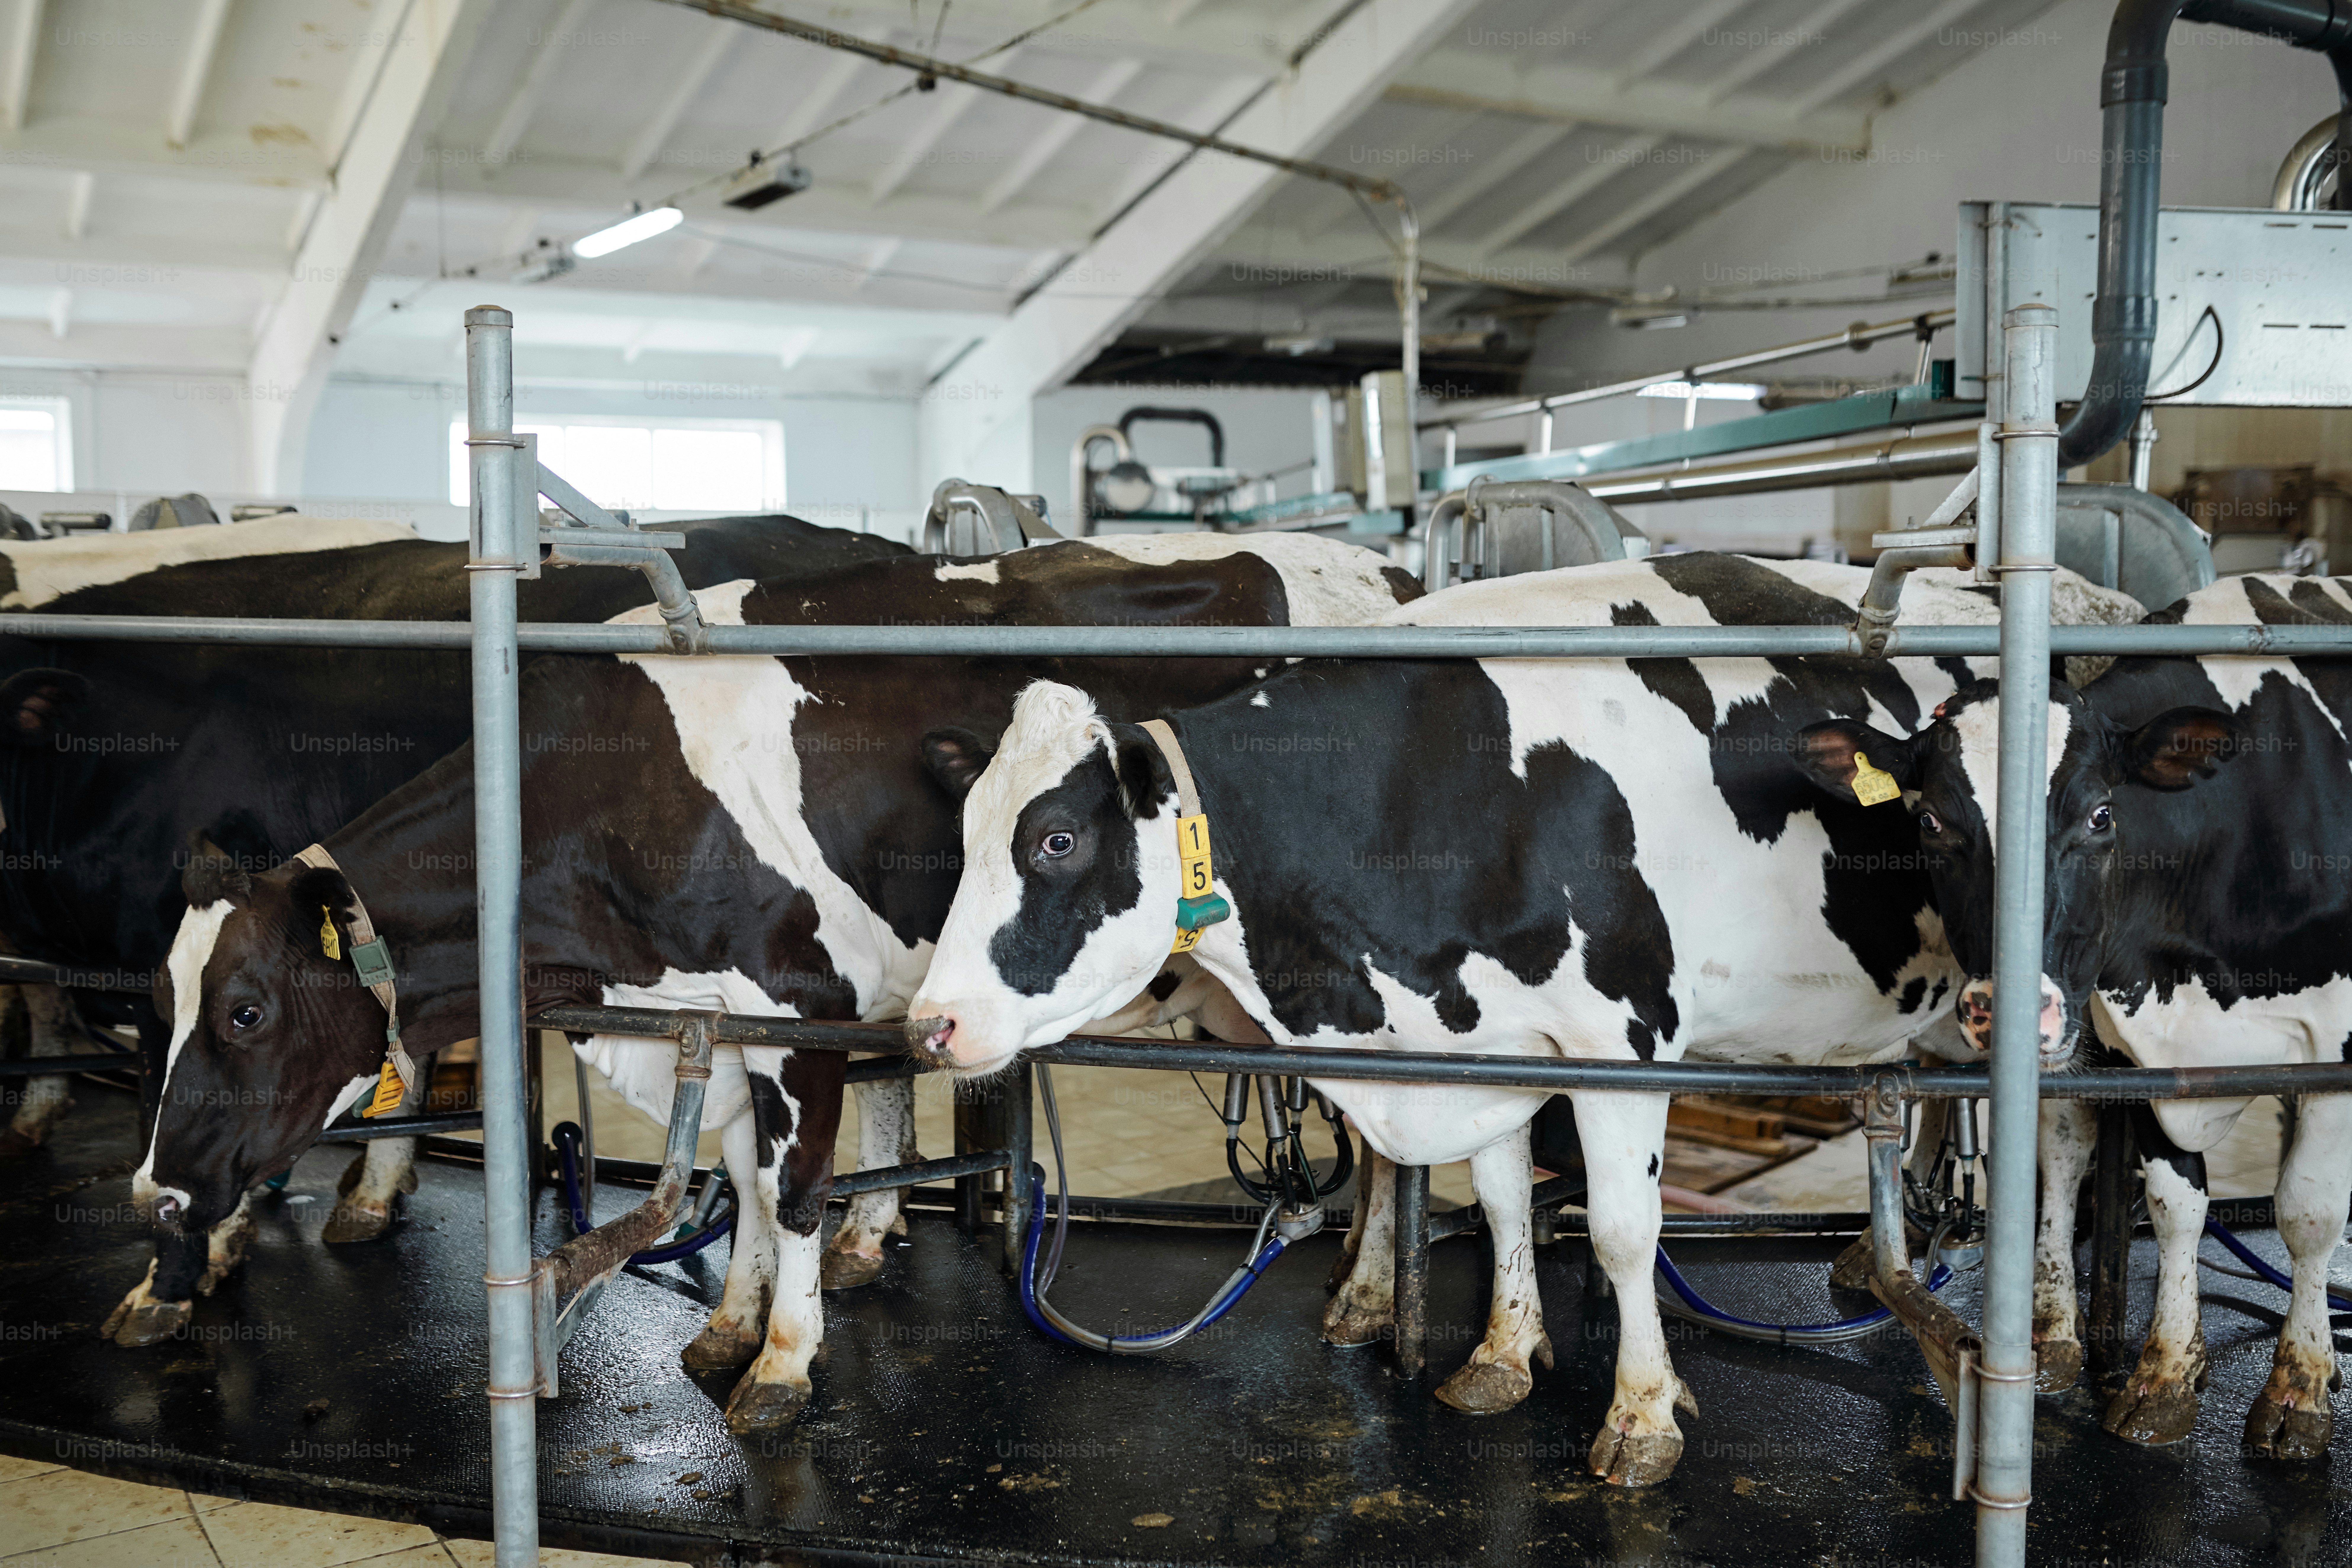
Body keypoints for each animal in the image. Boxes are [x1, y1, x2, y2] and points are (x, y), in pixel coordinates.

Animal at [128, 534, 1418, 1433]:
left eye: (246, 1010)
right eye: (161, 1003)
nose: (153, 1193)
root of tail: (1380, 568)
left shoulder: (805, 1009)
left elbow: (795, 1189)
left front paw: (785, 1360)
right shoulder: (718, 1014)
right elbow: (746, 1175)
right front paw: (730, 1324)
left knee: (1389, 1143)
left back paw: (1372, 1305)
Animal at [899, 552, 2146, 1485]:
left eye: (1056, 839)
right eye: (964, 834)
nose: (931, 1025)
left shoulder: (1623, 1041)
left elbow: (1622, 1230)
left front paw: (1640, 1414)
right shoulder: (1483, 1039)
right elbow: (1501, 1200)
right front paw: (1500, 1351)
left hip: (2068, 993)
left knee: (2069, 1135)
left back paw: (2071, 1344)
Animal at [1789, 571, 2352, 1461]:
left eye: (2100, 816)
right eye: (1929, 822)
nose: (2003, 1009)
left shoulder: (2333, 1046)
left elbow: (2308, 1211)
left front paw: (2297, 1393)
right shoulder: (2137, 1045)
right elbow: (2171, 1198)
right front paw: (2165, 1371)